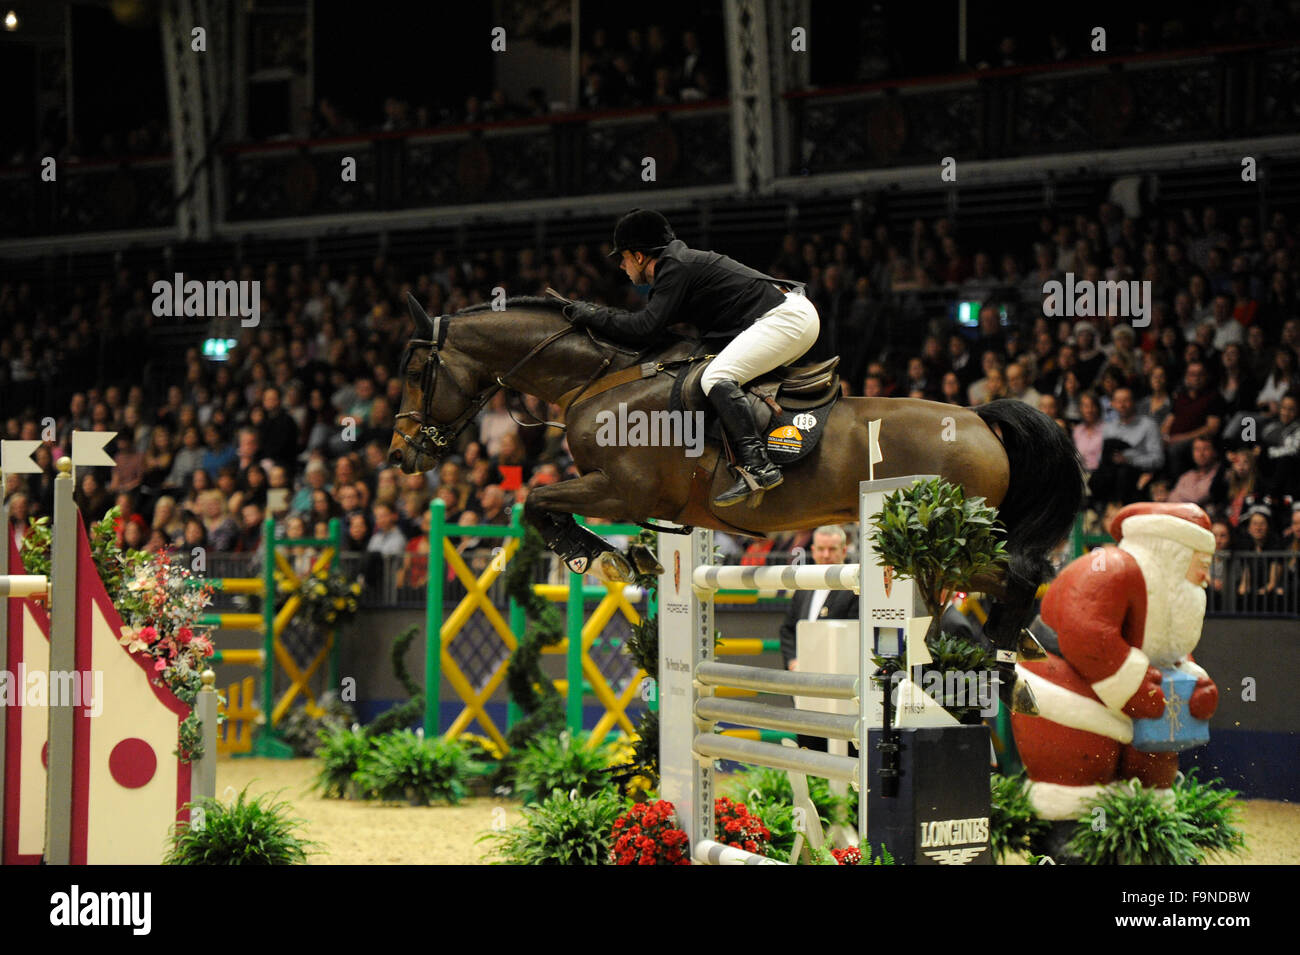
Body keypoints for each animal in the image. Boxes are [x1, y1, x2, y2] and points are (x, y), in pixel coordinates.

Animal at [389, 294, 1085, 706]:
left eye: (416, 371)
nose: (400, 456)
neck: (603, 381)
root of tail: (981, 418)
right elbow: (545, 504)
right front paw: (633, 559)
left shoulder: (621, 488)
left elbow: (537, 501)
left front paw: (602, 558)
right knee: (1015, 576)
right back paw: (1018, 650)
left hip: (943, 541)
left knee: (1023, 570)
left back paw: (1003, 657)